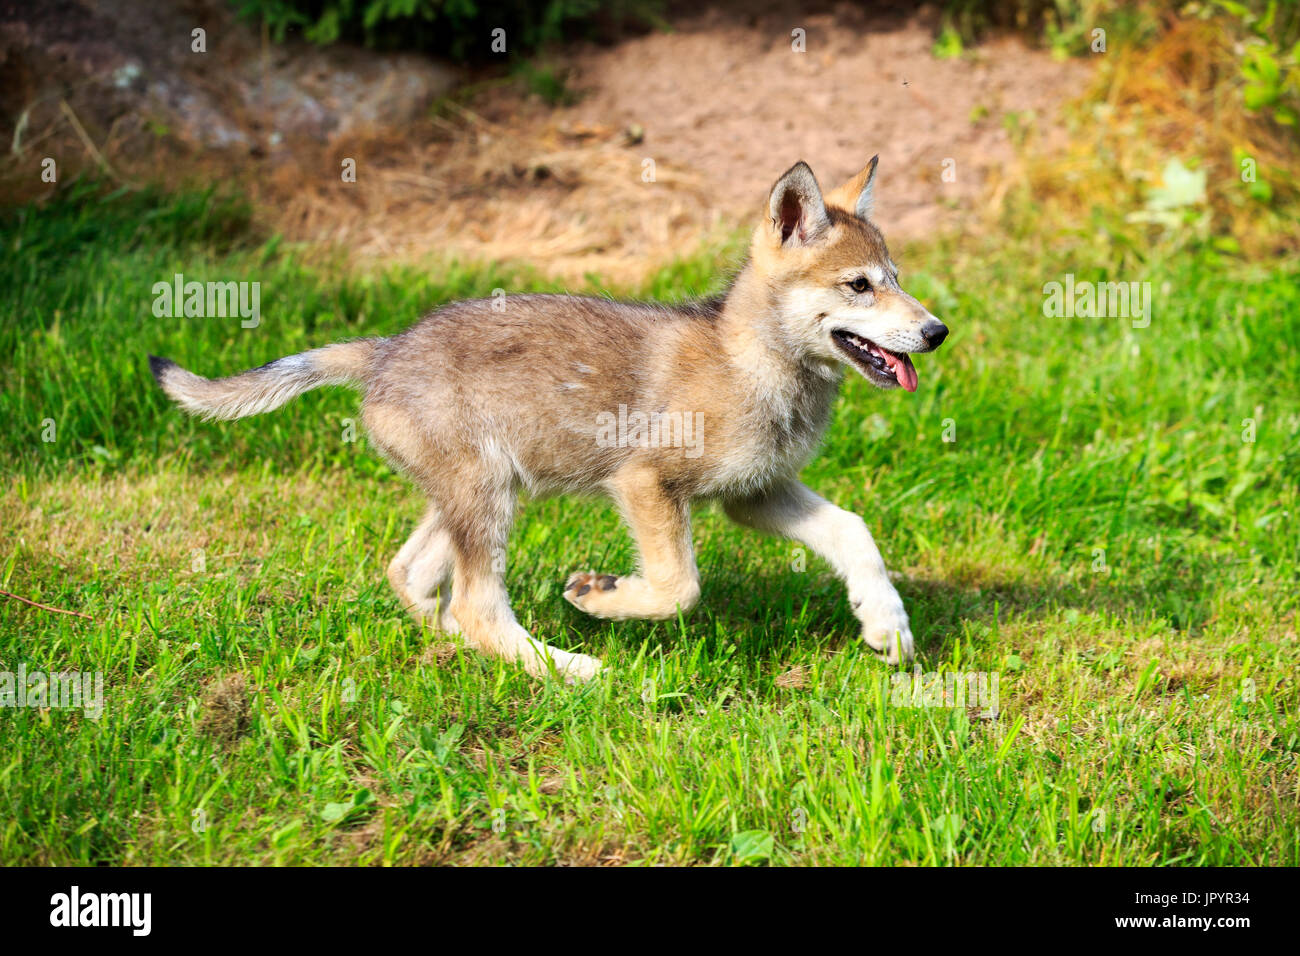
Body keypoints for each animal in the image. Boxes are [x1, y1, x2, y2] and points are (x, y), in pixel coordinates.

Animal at [150, 158, 949, 681]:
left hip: (478, 494)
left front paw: (887, 626)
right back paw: (571, 668)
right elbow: (679, 587)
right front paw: (599, 598)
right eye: (859, 286)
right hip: (486, 497)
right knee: (476, 604)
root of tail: (383, 350)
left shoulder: (755, 494)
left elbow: (853, 531)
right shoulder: (646, 483)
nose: (938, 331)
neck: (751, 360)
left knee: (418, 579)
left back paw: (465, 646)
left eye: (897, 279)